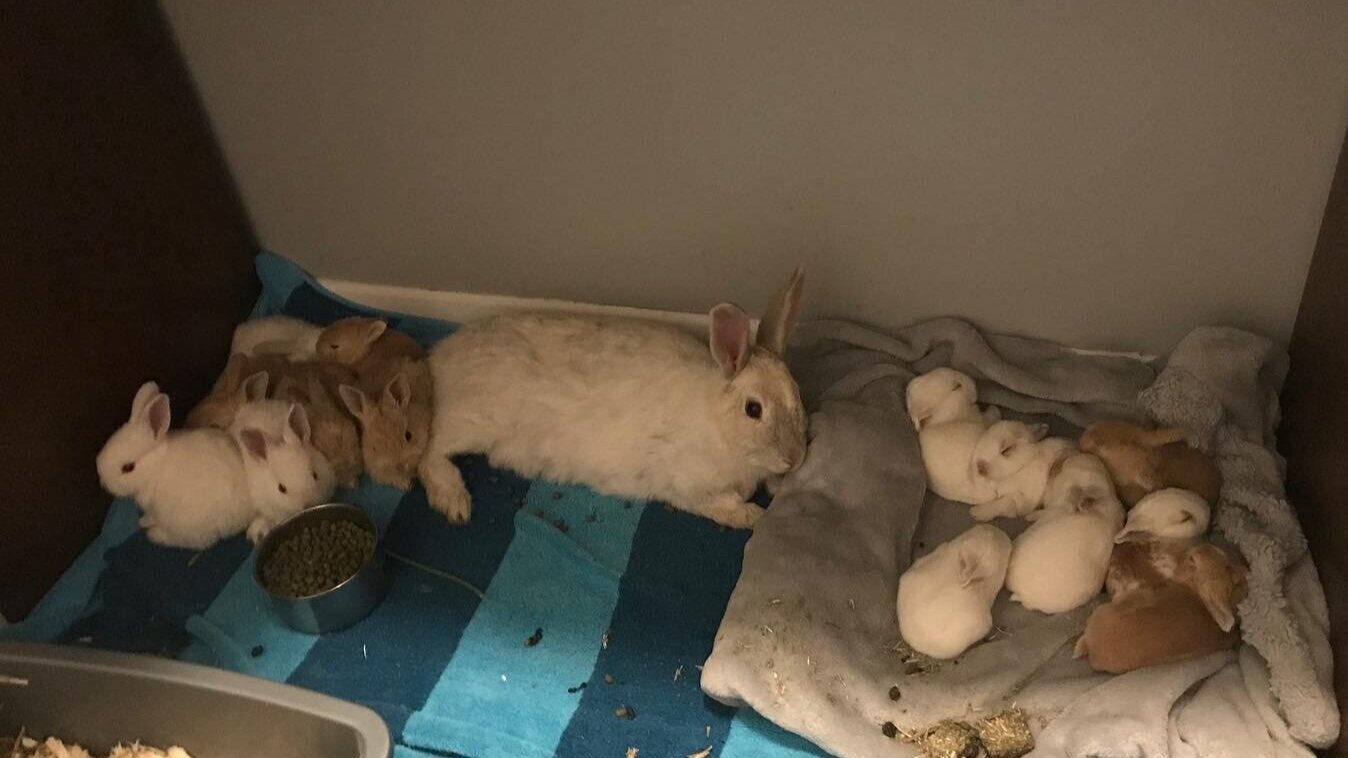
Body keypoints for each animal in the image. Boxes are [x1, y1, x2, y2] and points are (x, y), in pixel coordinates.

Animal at [96, 382, 255, 549]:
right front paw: (144, 521)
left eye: (128, 467)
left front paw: (147, 526)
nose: (103, 482)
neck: (154, 468)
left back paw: (154, 535)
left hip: (190, 525)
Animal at [418, 268, 807, 528]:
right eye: (753, 409)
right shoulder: (687, 486)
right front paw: (753, 515)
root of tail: (436, 360)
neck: (719, 423)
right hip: (474, 420)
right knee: (427, 451)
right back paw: (454, 503)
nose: (794, 459)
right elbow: (722, 504)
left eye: (798, 395)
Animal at [906, 368, 1001, 505]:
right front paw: (995, 409)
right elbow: (989, 415)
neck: (944, 417)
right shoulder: (978, 417)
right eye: (956, 386)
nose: (973, 381)